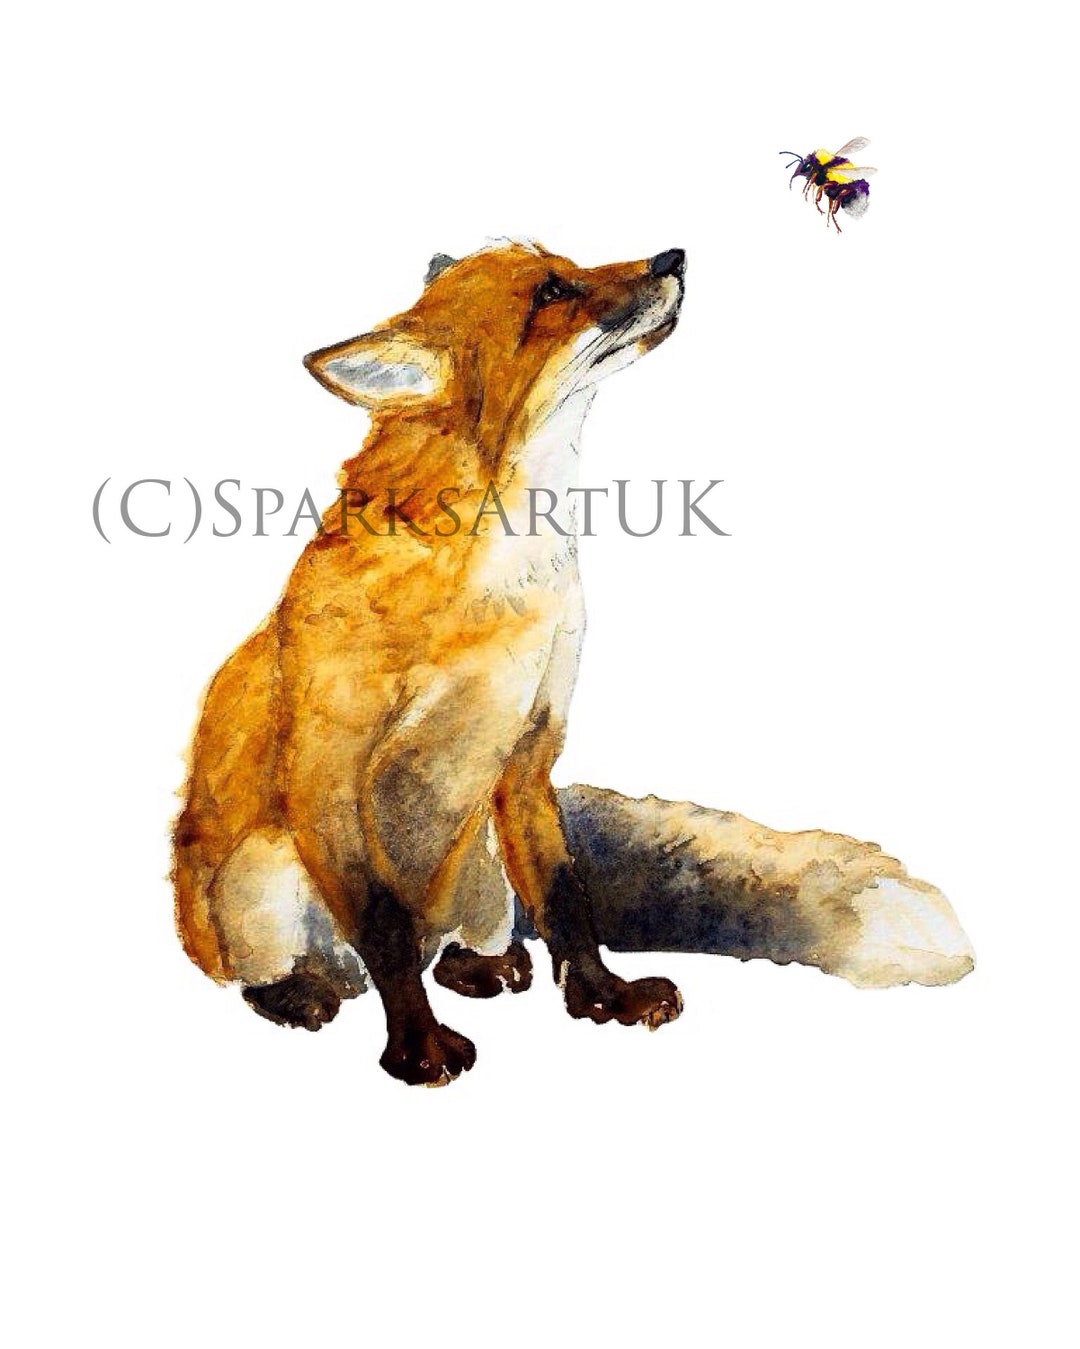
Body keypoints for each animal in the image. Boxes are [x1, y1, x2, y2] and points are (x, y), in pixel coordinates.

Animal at [174, 240, 974, 1087]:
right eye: (553, 292)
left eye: (569, 263)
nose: (673, 255)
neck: (506, 581)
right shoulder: (326, 771)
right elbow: (385, 929)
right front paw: (419, 1049)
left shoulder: (531, 753)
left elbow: (565, 900)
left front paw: (602, 997)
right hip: (263, 874)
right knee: (320, 967)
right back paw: (300, 992)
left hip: (481, 871)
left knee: (468, 947)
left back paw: (484, 967)